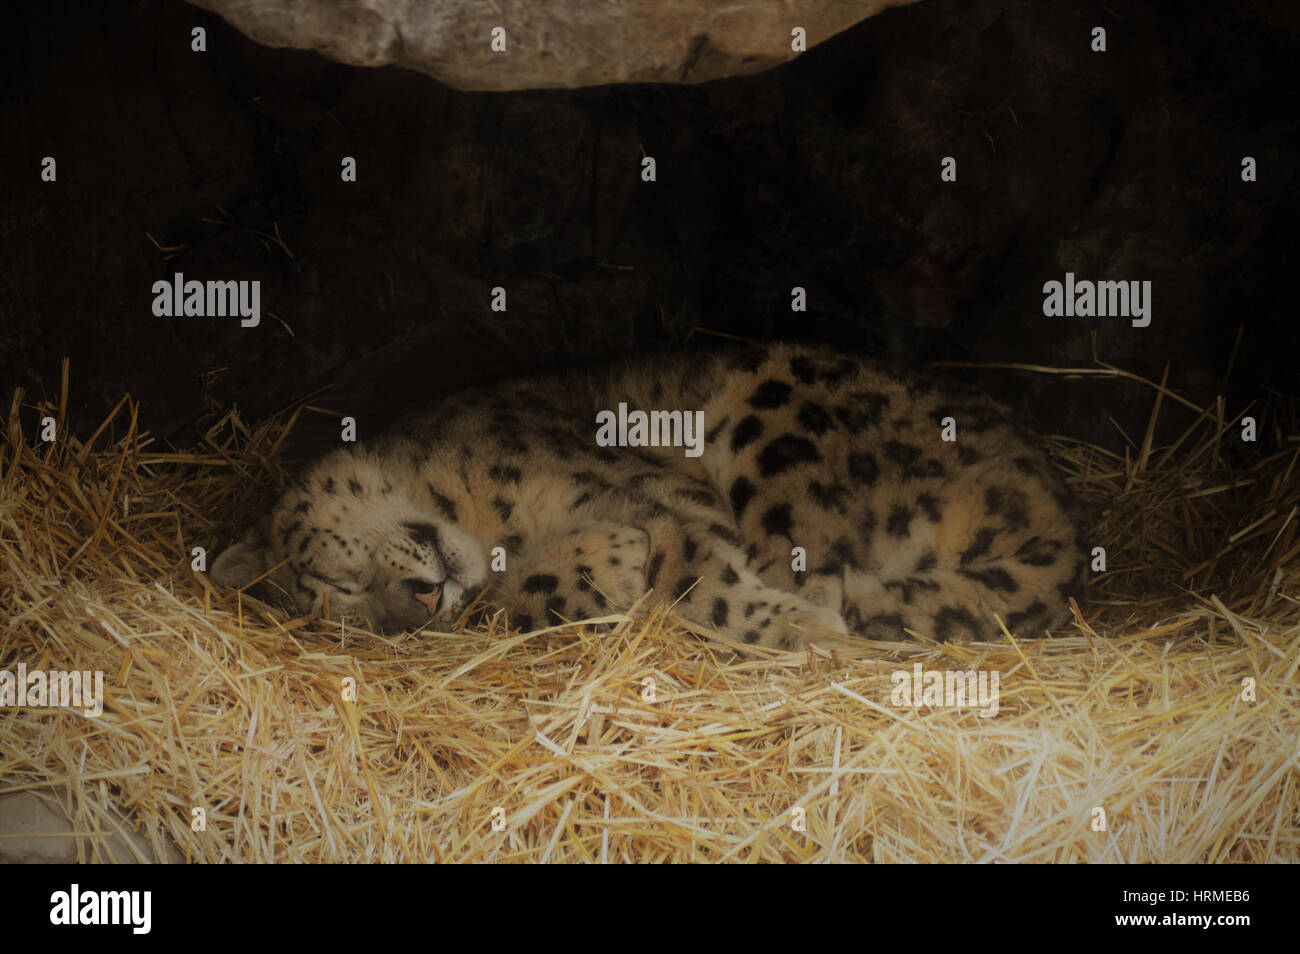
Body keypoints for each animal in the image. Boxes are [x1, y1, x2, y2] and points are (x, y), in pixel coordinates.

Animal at [209, 342, 1086, 650]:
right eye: (353, 618)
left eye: (336, 577)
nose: (422, 604)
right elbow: (530, 596)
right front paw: (598, 564)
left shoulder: (650, 490)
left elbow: (704, 582)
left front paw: (798, 629)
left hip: (775, 413)